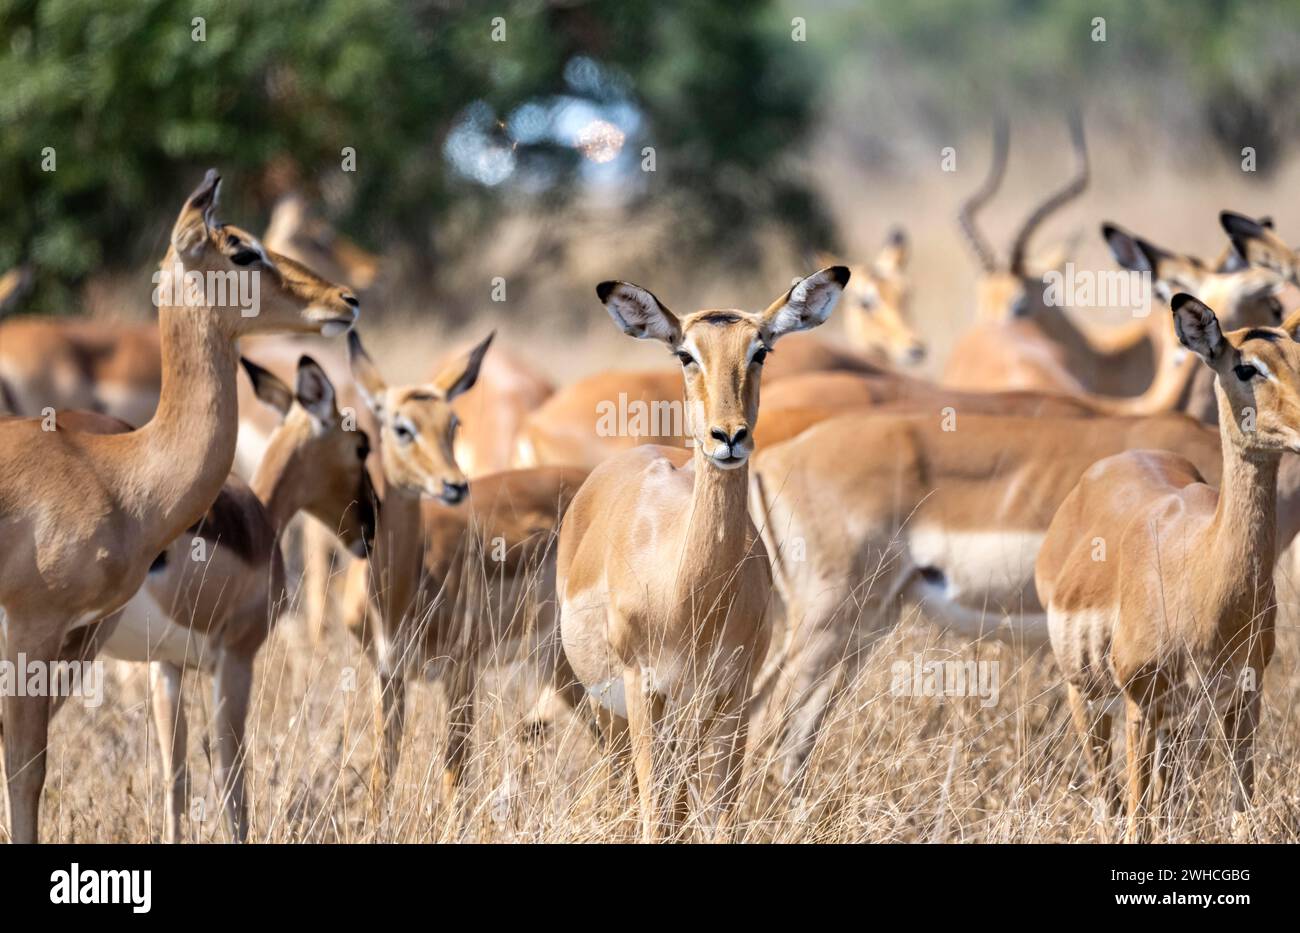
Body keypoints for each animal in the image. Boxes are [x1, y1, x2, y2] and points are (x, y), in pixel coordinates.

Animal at [87, 358, 375, 843]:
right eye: (360, 445)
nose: (369, 528)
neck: (262, 519)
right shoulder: (237, 657)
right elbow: (231, 775)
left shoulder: (166, 667)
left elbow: (176, 778)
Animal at [558, 266, 849, 841]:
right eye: (685, 353)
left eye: (761, 350)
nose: (729, 436)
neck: (688, 595)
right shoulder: (644, 690)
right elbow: (654, 818)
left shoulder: (733, 697)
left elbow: (721, 819)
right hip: (611, 710)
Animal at [1036, 295, 1300, 842]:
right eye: (1246, 366)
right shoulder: (1142, 703)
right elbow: (1138, 823)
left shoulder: (1243, 700)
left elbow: (1242, 815)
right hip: (1089, 698)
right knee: (1113, 802)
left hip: (1178, 727)